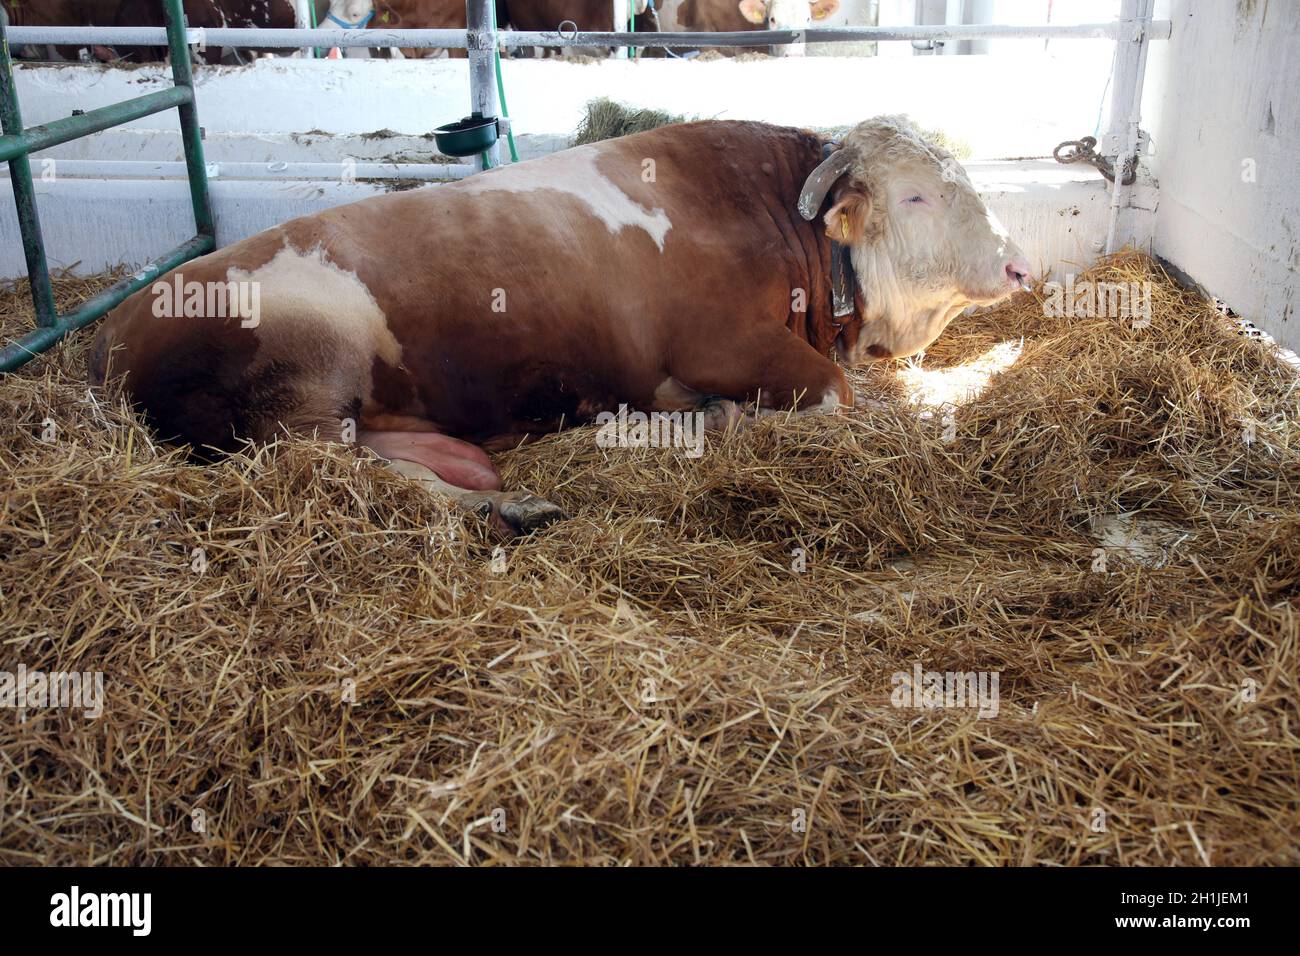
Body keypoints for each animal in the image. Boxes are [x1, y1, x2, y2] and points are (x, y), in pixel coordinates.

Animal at [88, 116, 1032, 534]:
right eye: (916, 196)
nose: (1022, 265)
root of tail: (116, 334)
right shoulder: (724, 345)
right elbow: (834, 395)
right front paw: (723, 419)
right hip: (305, 371)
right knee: (327, 468)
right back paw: (511, 503)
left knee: (380, 454)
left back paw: (479, 472)